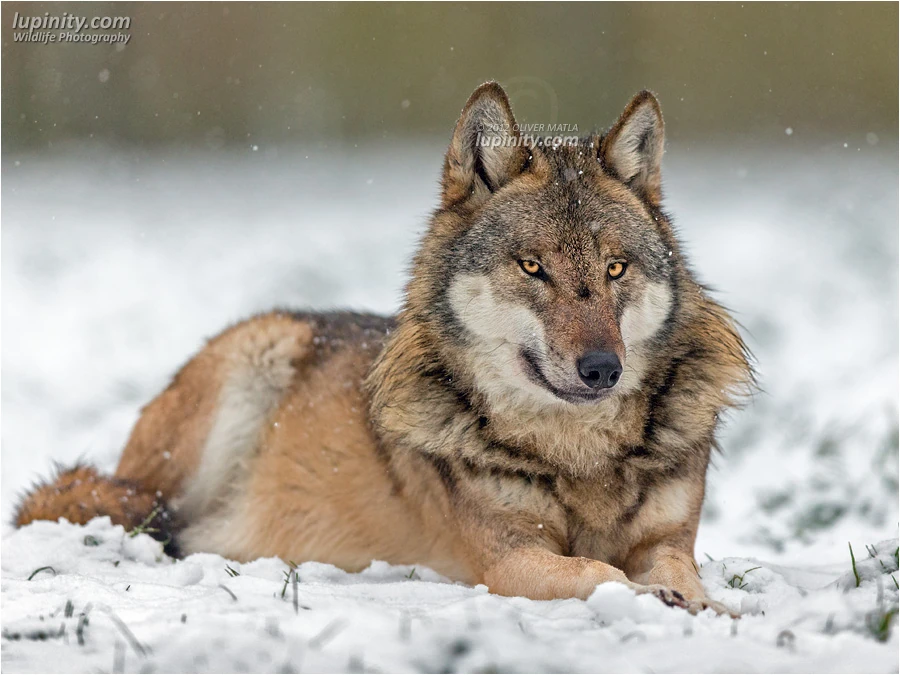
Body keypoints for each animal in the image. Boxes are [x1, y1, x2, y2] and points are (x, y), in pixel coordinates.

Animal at [16, 82, 752, 614]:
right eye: (533, 267)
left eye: (615, 269)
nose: (603, 368)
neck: (580, 453)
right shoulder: (510, 558)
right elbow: (599, 571)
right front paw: (657, 599)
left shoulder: (668, 538)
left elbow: (677, 569)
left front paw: (703, 602)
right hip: (249, 365)